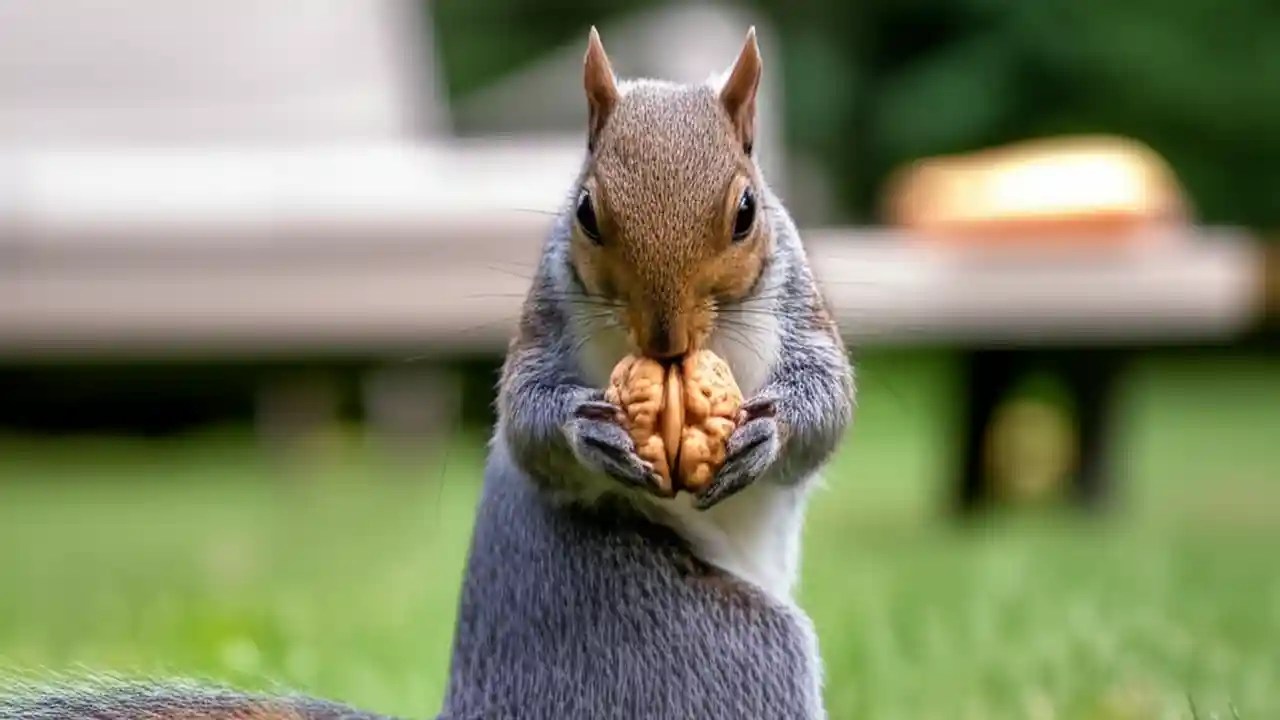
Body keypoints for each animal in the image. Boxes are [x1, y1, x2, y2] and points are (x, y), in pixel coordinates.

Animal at [0, 26, 853, 720]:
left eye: (746, 210)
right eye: (585, 211)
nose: (667, 340)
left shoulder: (803, 312)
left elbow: (828, 407)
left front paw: (771, 433)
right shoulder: (542, 321)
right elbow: (527, 422)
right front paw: (586, 433)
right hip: (718, 645)